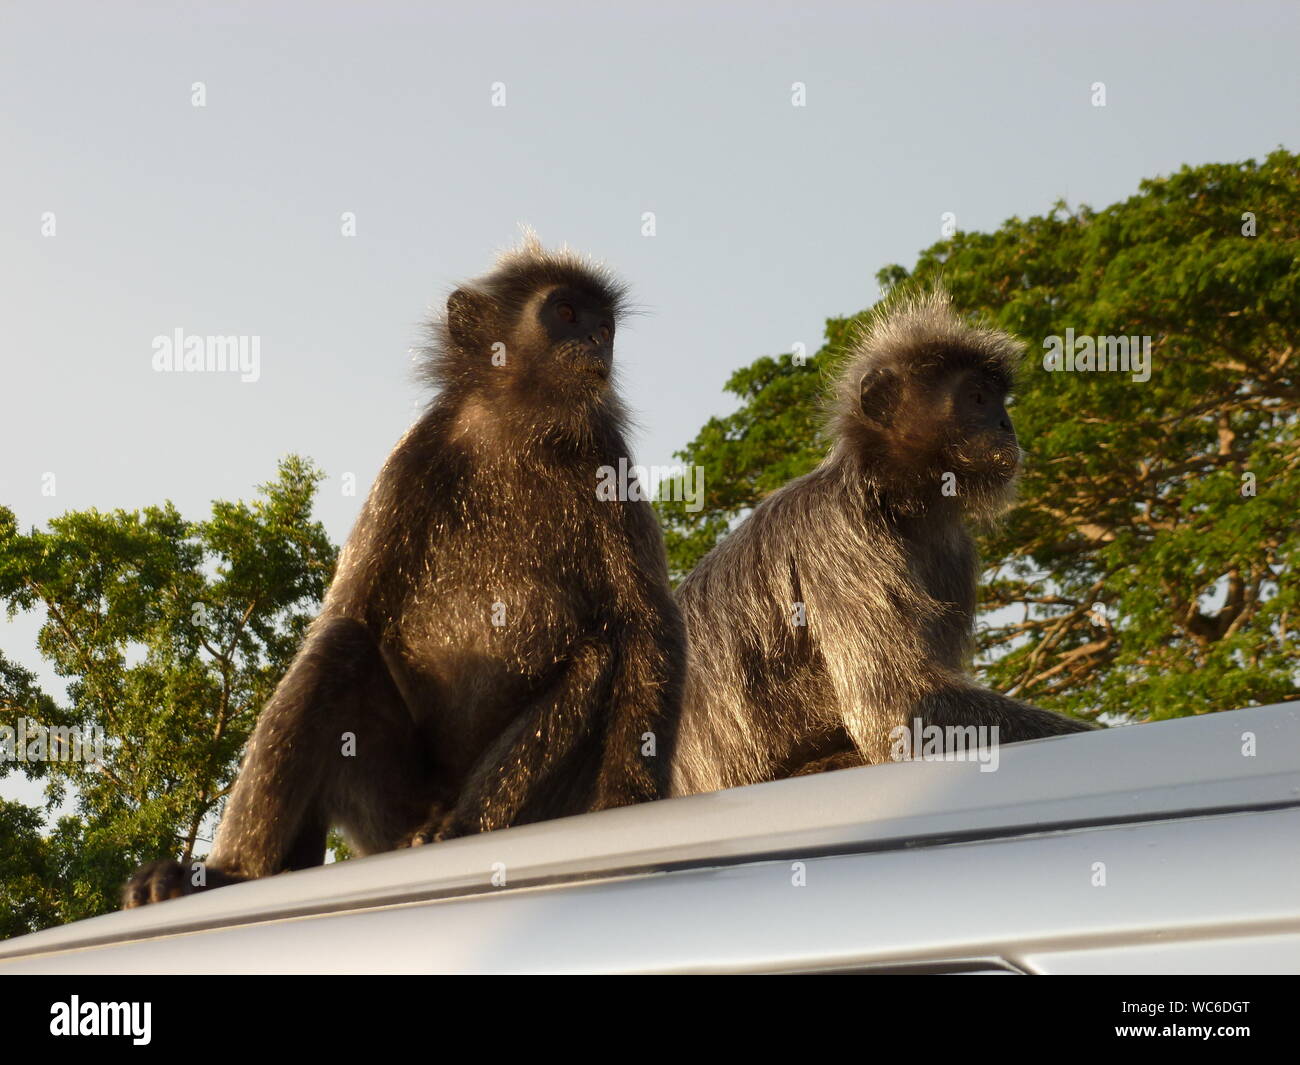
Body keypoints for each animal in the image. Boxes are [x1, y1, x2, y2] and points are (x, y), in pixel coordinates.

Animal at [125, 236, 686, 906]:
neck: (515, 429)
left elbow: (646, 623)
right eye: (567, 314)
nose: (597, 346)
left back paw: (460, 828)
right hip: (385, 808)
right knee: (339, 646)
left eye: (605, 328)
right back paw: (231, 873)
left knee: (597, 653)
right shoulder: (413, 458)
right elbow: (346, 613)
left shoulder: (606, 458)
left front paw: (629, 801)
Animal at [669, 289, 1095, 797]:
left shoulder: (953, 551)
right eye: (976, 398)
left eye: (999, 401)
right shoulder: (838, 534)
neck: (897, 502)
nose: (1006, 426)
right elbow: (900, 709)